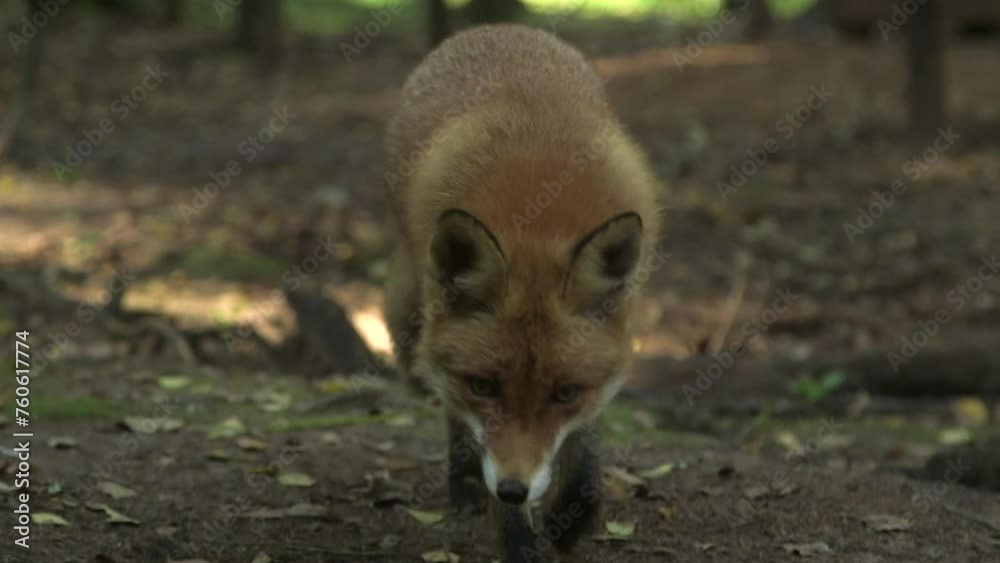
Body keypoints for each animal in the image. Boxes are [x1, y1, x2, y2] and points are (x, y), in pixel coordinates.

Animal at [383, 24, 662, 563]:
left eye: (565, 392)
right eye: (483, 386)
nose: (515, 490)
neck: (539, 217)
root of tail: (495, 28)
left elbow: (584, 437)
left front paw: (572, 510)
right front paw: (516, 534)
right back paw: (464, 483)